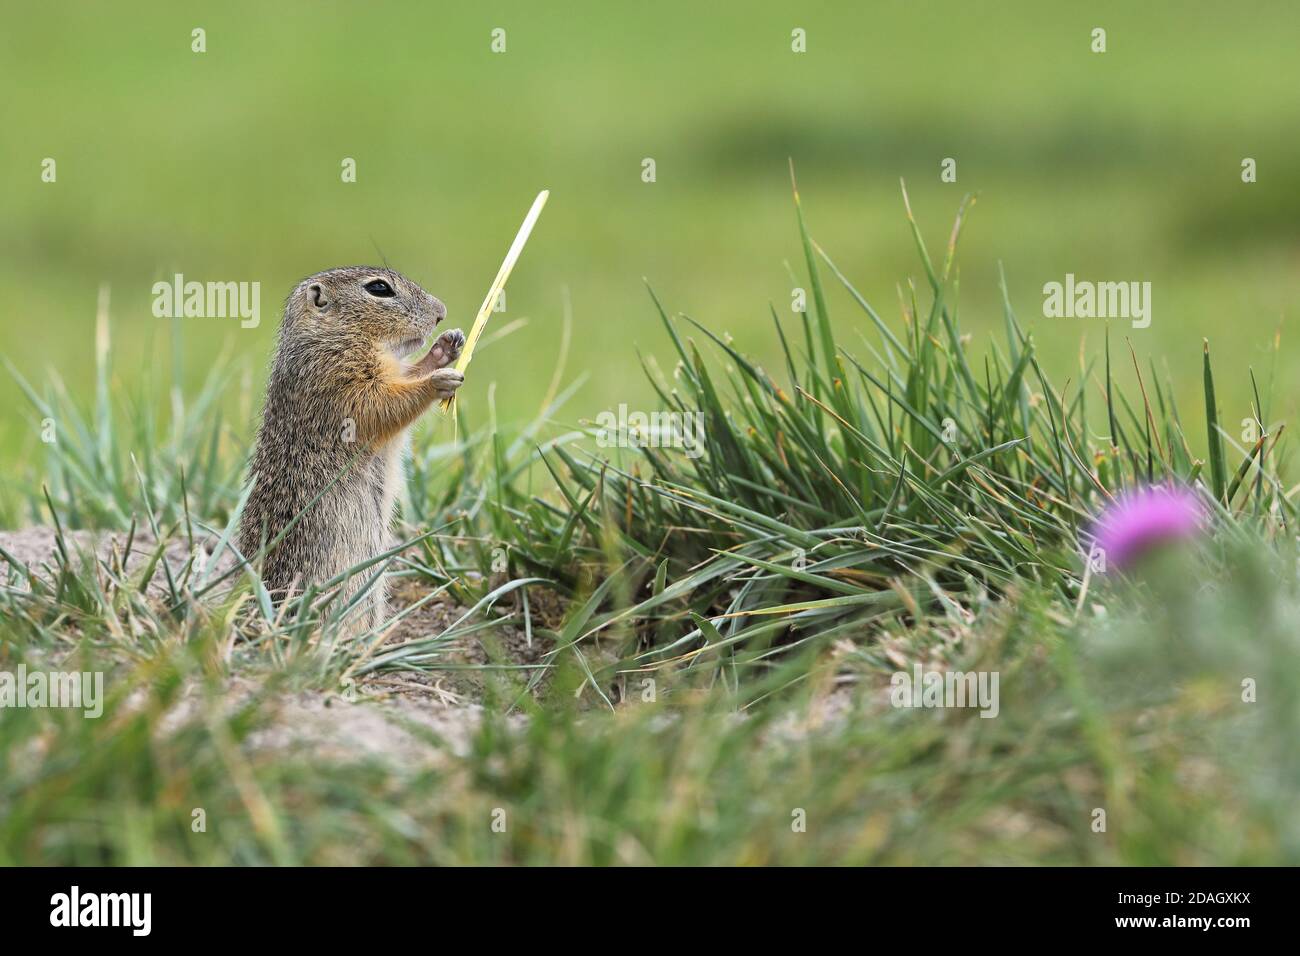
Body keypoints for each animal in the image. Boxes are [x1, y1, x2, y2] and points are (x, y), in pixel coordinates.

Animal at [238, 266, 465, 633]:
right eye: (379, 288)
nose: (441, 312)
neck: (332, 337)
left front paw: (445, 348)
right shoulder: (337, 380)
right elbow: (381, 405)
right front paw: (437, 381)